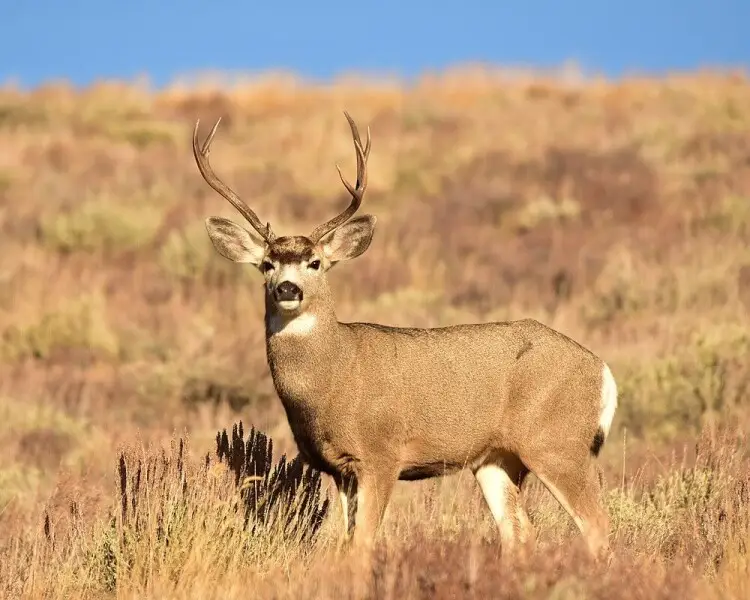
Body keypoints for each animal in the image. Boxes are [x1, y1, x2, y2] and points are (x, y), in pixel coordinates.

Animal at [192, 112, 619, 557]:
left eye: (315, 263)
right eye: (266, 265)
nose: (288, 289)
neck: (335, 376)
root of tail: (602, 369)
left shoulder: (381, 455)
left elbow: (362, 544)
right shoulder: (339, 468)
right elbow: (346, 541)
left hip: (557, 443)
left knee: (596, 526)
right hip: (496, 459)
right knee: (520, 532)